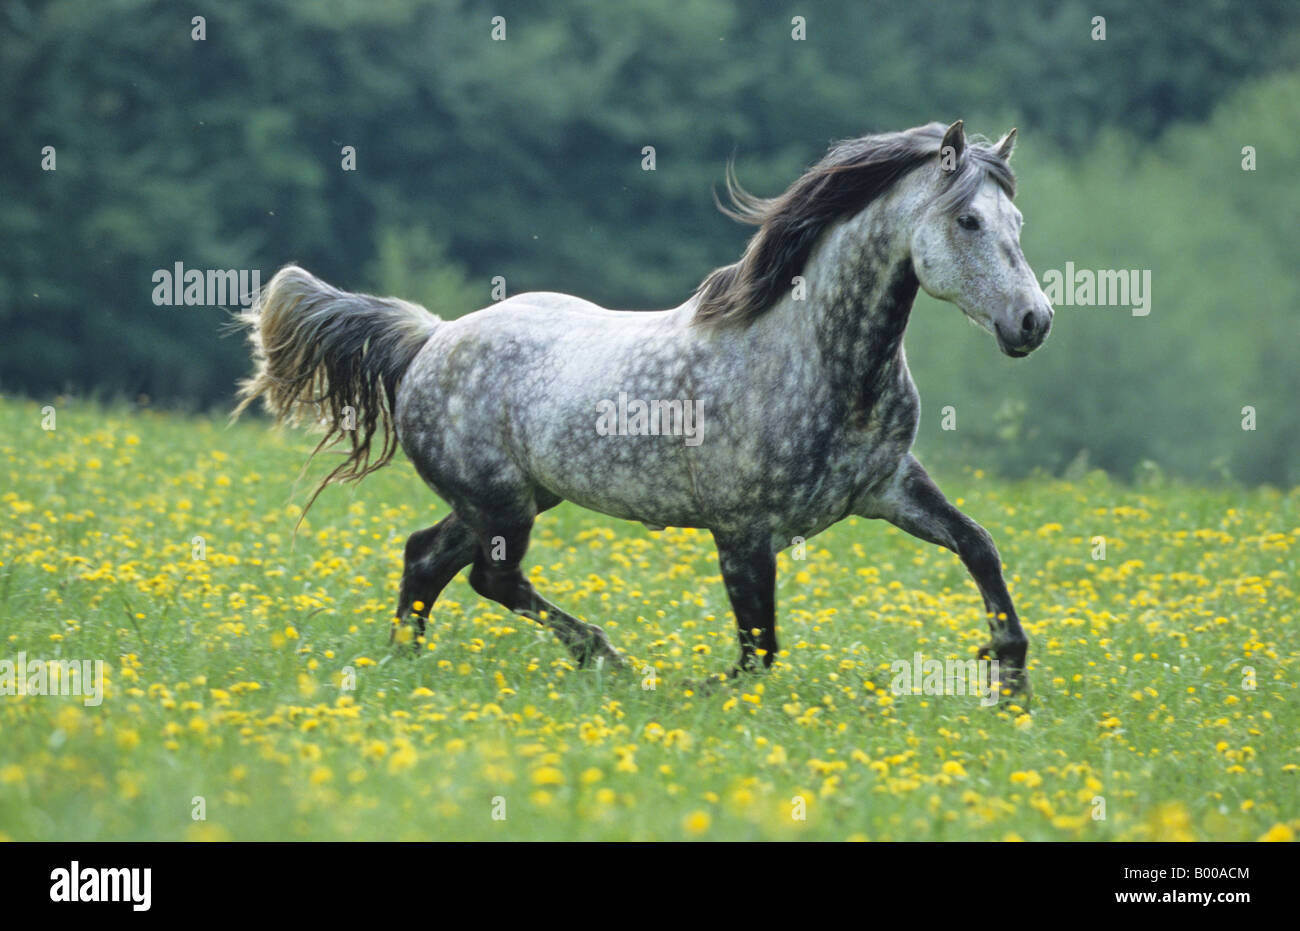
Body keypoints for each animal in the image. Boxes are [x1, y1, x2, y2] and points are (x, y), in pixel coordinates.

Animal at [234, 120, 1053, 702]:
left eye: (1018, 221)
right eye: (969, 221)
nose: (1033, 322)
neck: (817, 358)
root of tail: (432, 337)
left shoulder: (888, 488)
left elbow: (978, 545)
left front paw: (1009, 678)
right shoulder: (743, 530)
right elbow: (758, 650)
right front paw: (698, 688)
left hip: (515, 499)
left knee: (424, 558)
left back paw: (406, 662)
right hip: (502, 506)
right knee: (488, 580)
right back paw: (606, 657)